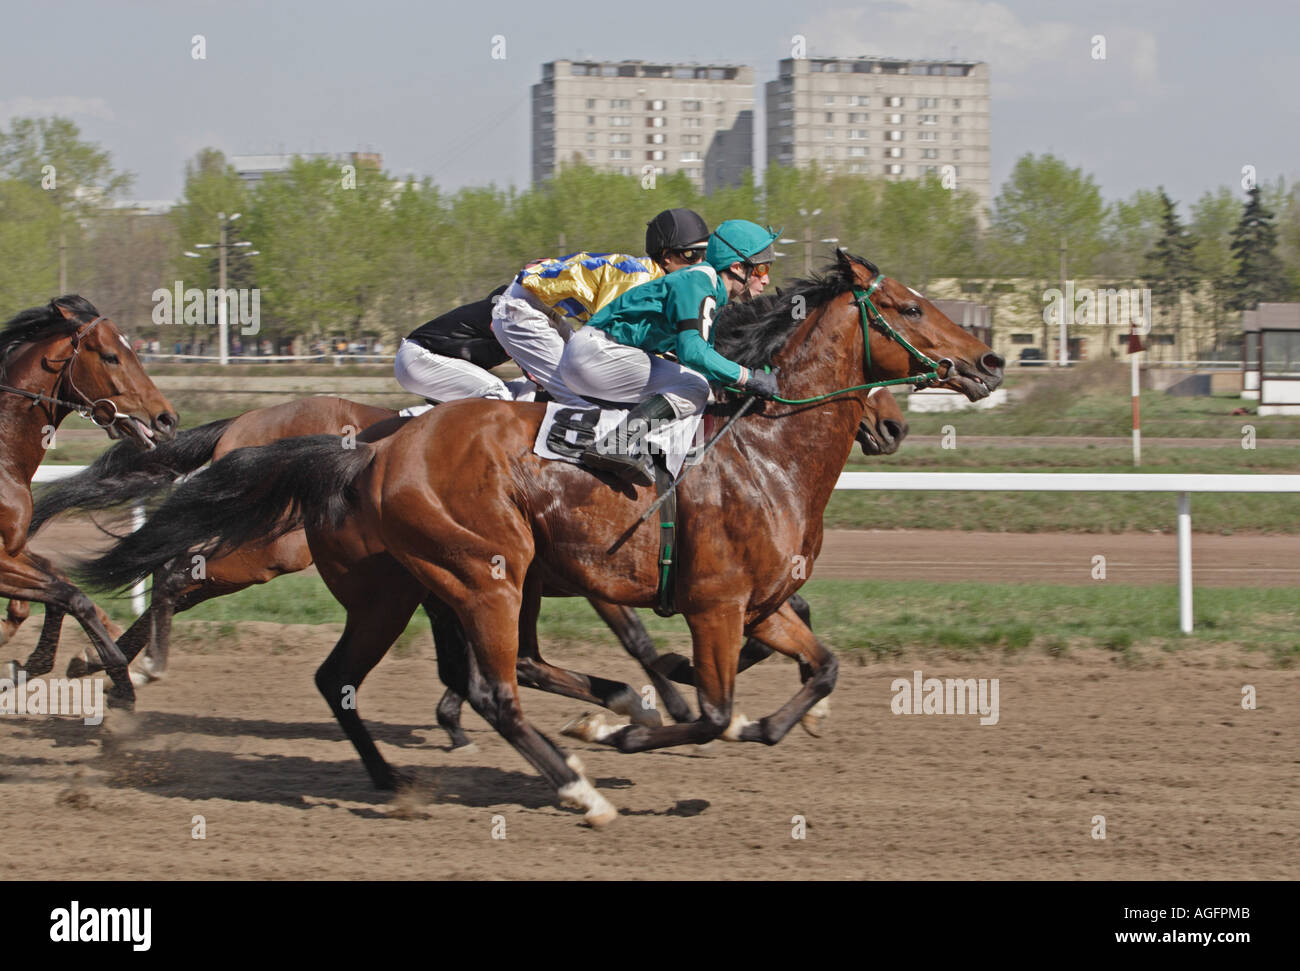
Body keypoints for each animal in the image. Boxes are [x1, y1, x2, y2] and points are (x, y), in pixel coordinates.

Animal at [0, 295, 176, 706]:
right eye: (112, 356)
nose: (166, 419)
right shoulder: (1, 559)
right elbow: (72, 596)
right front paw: (120, 680)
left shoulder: (13, 548)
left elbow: (57, 583)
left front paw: (27, 661)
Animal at [83, 252, 998, 824]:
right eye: (910, 308)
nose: (988, 363)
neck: (766, 451)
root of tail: (365, 450)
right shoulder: (708, 601)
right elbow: (708, 707)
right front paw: (631, 728)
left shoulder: (763, 603)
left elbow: (819, 667)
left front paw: (755, 720)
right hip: (474, 571)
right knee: (490, 686)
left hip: (398, 589)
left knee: (343, 675)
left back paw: (395, 778)